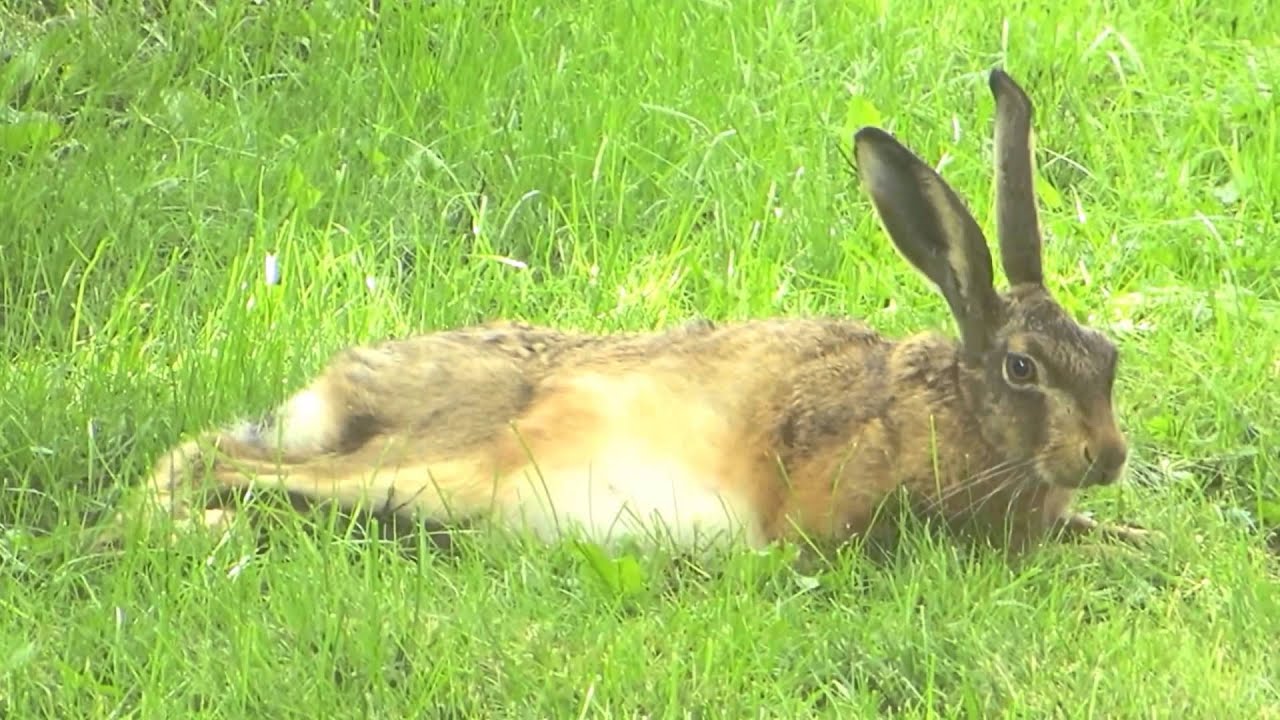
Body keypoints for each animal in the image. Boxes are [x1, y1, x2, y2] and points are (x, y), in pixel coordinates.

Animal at [110, 68, 1148, 556]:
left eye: (1107, 357)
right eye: (1022, 368)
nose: (1107, 457)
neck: (953, 410)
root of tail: (333, 390)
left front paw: (1130, 536)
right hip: (448, 462)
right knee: (220, 462)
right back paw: (194, 529)